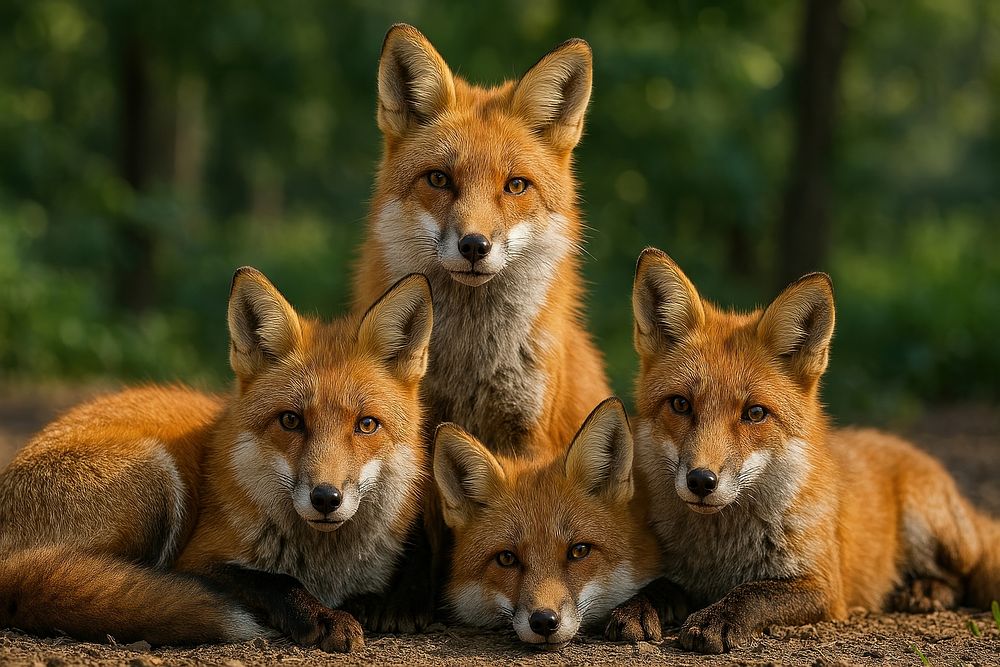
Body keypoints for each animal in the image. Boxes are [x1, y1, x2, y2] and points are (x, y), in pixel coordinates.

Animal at [0, 268, 434, 652]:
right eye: (291, 420)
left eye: (366, 424)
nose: (326, 498)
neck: (325, 566)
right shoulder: (194, 561)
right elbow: (273, 581)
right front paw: (320, 616)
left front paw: (392, 604)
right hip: (159, 477)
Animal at [615, 247, 1000, 653]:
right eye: (681, 405)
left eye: (755, 413)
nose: (701, 481)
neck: (722, 552)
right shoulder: (678, 572)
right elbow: (659, 585)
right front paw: (636, 607)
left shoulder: (824, 586)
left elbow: (753, 593)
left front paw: (715, 619)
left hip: (928, 524)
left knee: (963, 578)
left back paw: (925, 590)